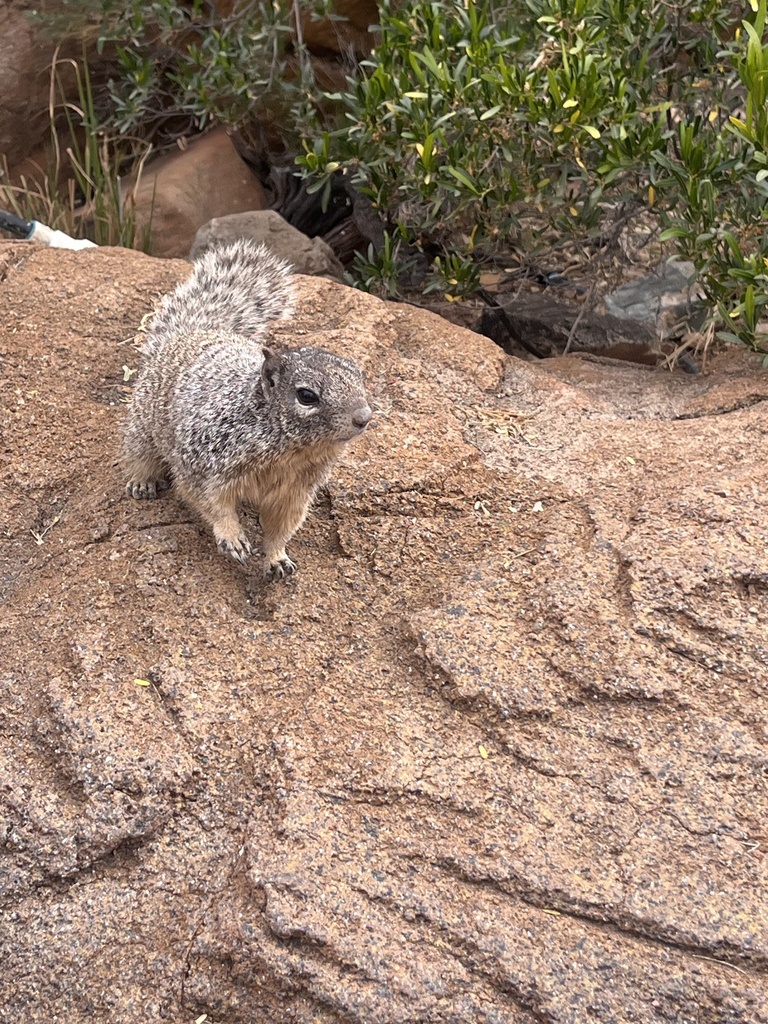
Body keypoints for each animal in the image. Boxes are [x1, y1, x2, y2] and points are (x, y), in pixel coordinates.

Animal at [122, 239, 372, 580]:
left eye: (359, 376)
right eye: (307, 396)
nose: (364, 417)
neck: (289, 452)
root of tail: (192, 333)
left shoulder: (295, 493)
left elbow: (282, 527)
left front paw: (278, 558)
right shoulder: (203, 464)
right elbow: (211, 503)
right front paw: (233, 537)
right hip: (142, 425)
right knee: (139, 454)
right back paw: (142, 482)